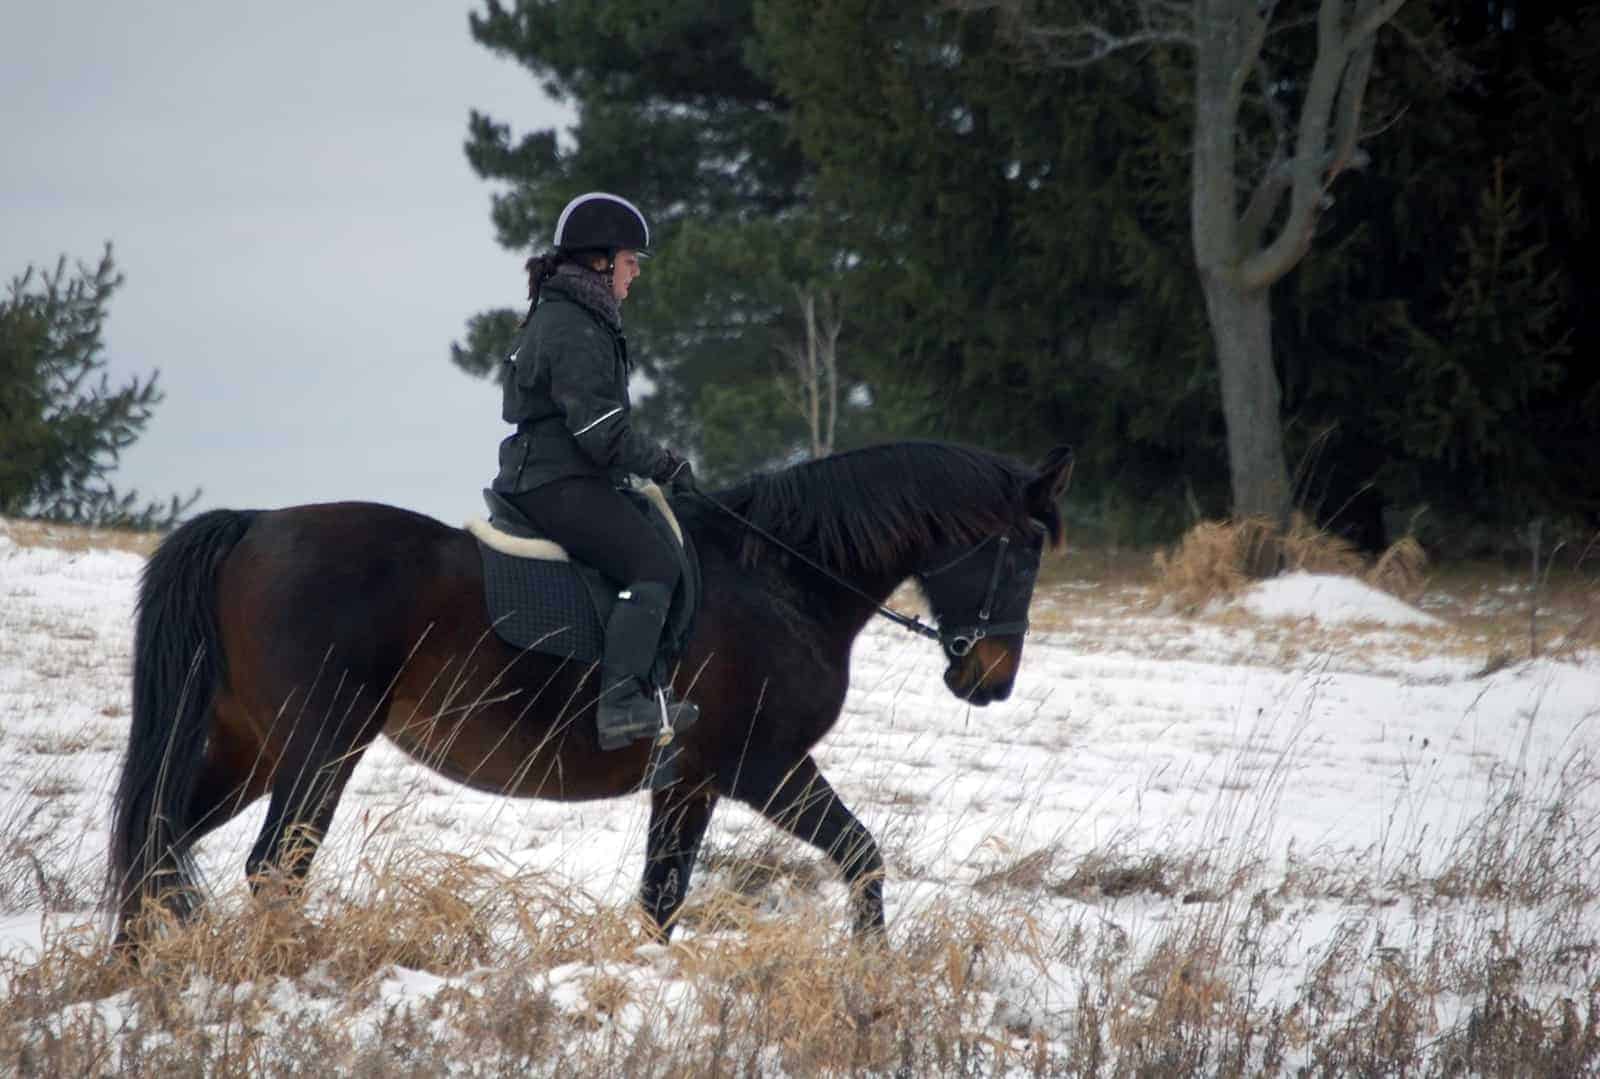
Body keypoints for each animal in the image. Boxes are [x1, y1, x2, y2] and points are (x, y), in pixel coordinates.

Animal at [108, 440, 1072, 948]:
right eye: (1023, 546)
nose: (990, 680)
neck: (779, 577)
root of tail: (254, 528)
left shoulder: (698, 778)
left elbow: (669, 894)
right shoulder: (752, 765)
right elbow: (851, 855)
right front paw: (868, 969)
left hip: (250, 747)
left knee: (159, 840)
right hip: (318, 750)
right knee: (273, 867)